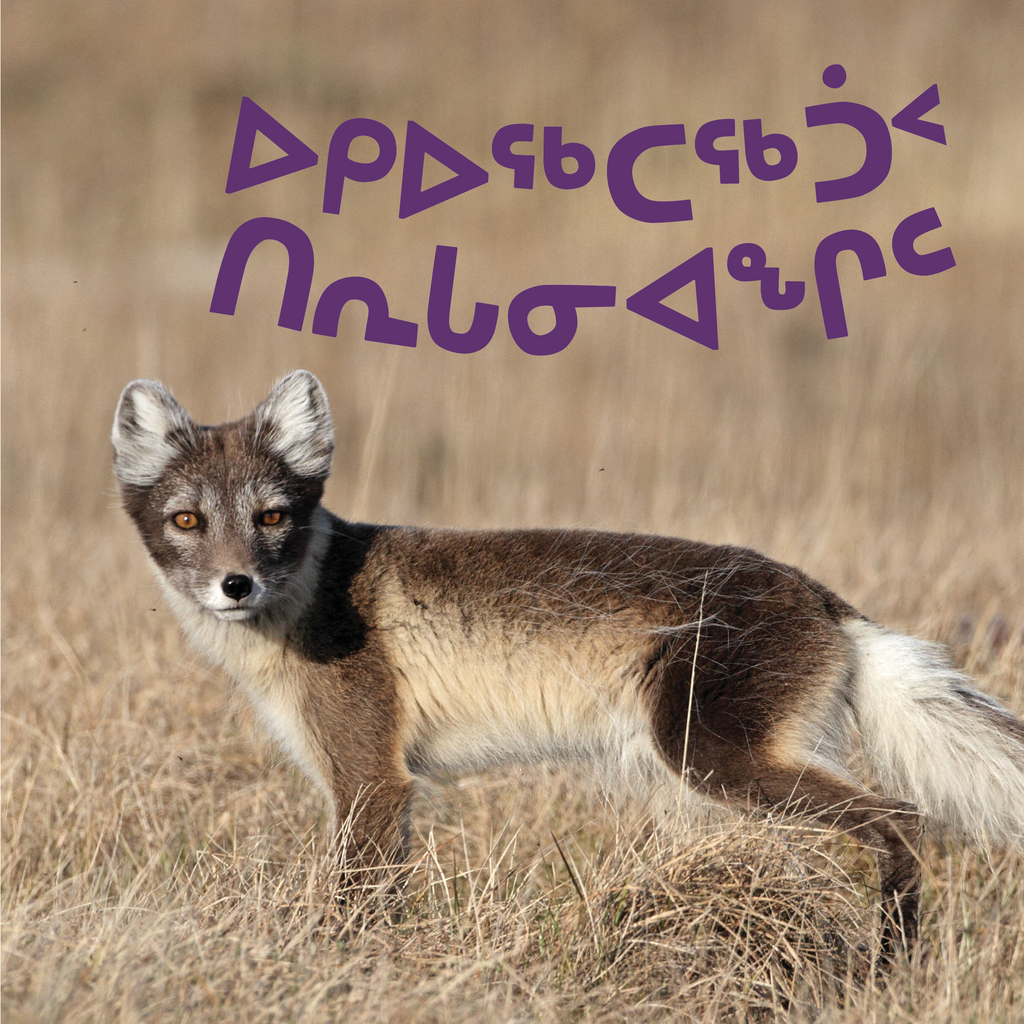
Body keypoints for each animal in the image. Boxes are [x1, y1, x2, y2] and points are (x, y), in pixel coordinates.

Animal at [111, 369, 1024, 960]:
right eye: (188, 520)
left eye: (272, 517)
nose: (236, 585)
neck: (310, 596)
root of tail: (823, 596)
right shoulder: (378, 787)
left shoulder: (372, 779)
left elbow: (356, 906)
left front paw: (340, 967)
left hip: (712, 756)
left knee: (902, 816)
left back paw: (891, 963)